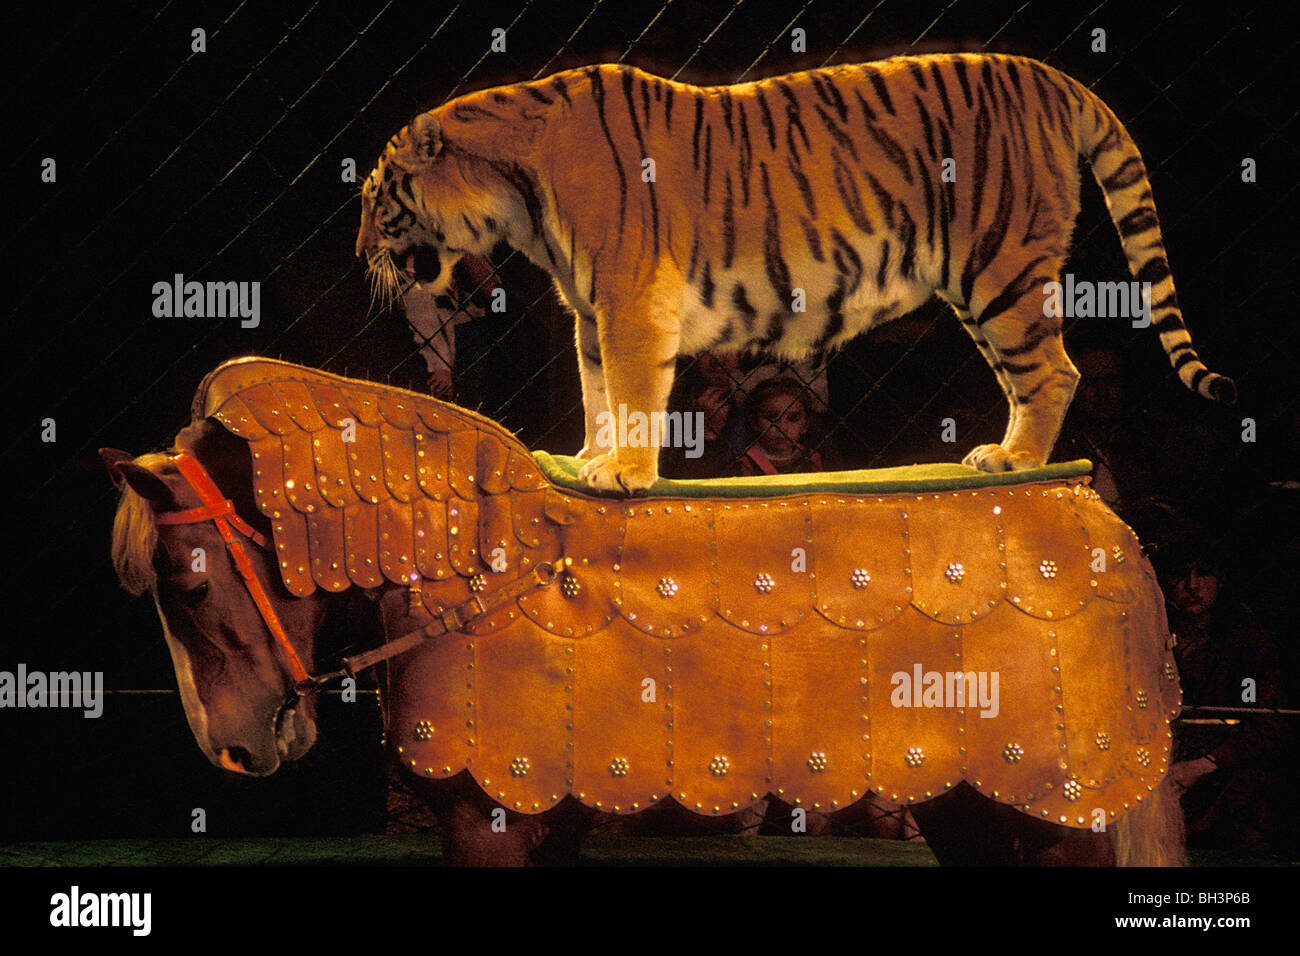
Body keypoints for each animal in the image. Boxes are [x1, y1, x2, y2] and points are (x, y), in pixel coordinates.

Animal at [356, 53, 1234, 492]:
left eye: (374, 198)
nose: (359, 251)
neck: (516, 193)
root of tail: (1057, 78)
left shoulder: (630, 300)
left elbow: (632, 396)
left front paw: (626, 476)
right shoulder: (593, 310)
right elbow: (598, 393)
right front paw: (587, 461)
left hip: (1002, 268)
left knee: (1053, 371)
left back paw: (1015, 463)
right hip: (984, 282)